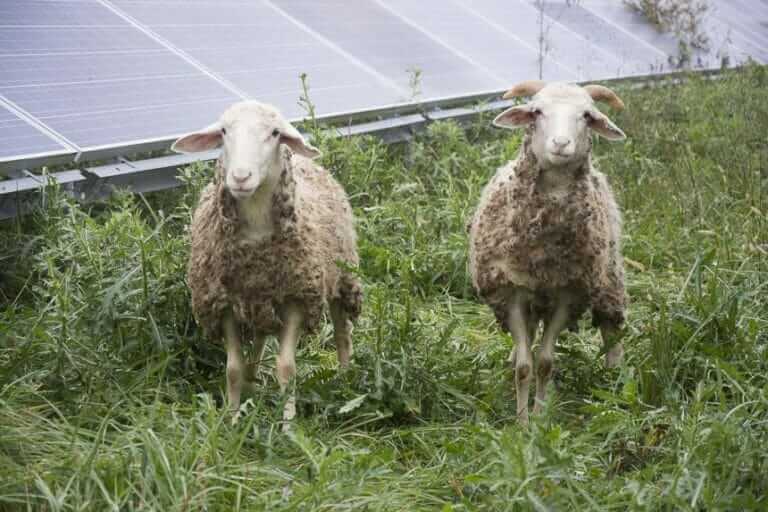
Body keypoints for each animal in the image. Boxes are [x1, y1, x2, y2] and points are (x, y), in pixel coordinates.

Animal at [171, 101, 362, 427]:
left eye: (275, 133)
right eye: (224, 131)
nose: (240, 177)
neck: (257, 234)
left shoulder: (297, 297)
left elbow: (286, 367)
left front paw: (288, 424)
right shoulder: (224, 302)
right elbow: (232, 369)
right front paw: (233, 420)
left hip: (341, 277)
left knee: (341, 334)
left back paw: (345, 378)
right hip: (258, 299)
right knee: (259, 340)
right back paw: (252, 380)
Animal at [468, 80, 628, 424]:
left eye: (587, 115)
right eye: (536, 111)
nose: (560, 143)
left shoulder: (568, 294)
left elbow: (544, 363)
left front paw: (539, 419)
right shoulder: (513, 291)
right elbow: (524, 367)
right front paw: (521, 422)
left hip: (608, 276)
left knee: (611, 328)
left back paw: (614, 380)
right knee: (527, 337)